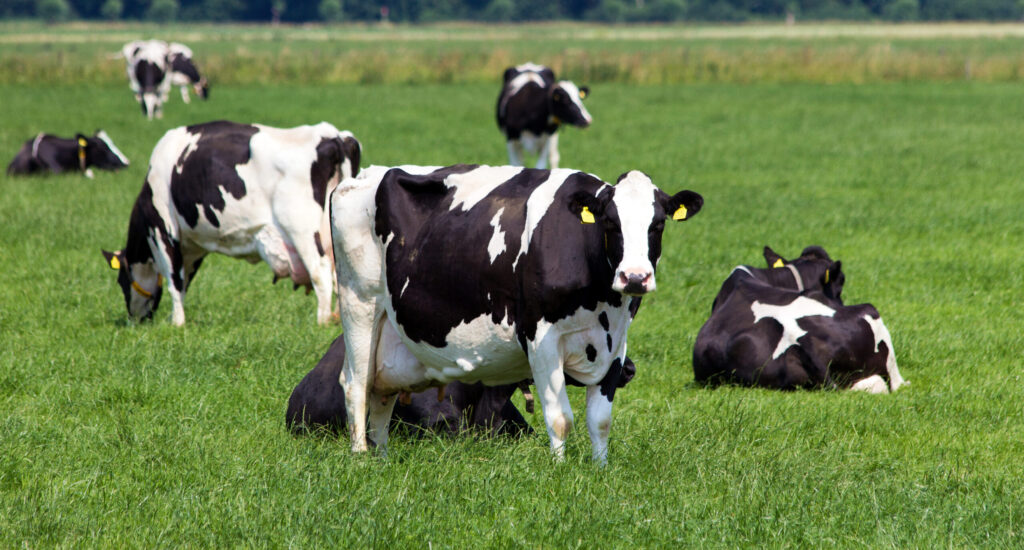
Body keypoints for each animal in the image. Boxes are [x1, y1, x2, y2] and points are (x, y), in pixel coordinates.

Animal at [102, 120, 361, 326]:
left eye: (121, 280)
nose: (134, 319)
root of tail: (334, 135)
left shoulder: (164, 230)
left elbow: (175, 280)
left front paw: (176, 323)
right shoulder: (192, 247)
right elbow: (184, 282)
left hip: (302, 230)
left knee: (321, 274)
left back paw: (322, 321)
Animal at [330, 164, 703, 463]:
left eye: (658, 225)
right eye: (611, 222)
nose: (635, 277)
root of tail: (362, 176)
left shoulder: (617, 341)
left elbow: (600, 420)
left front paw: (600, 470)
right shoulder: (541, 337)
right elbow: (560, 418)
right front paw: (559, 470)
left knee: (381, 393)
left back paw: (381, 457)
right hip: (359, 303)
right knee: (356, 384)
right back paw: (361, 458)